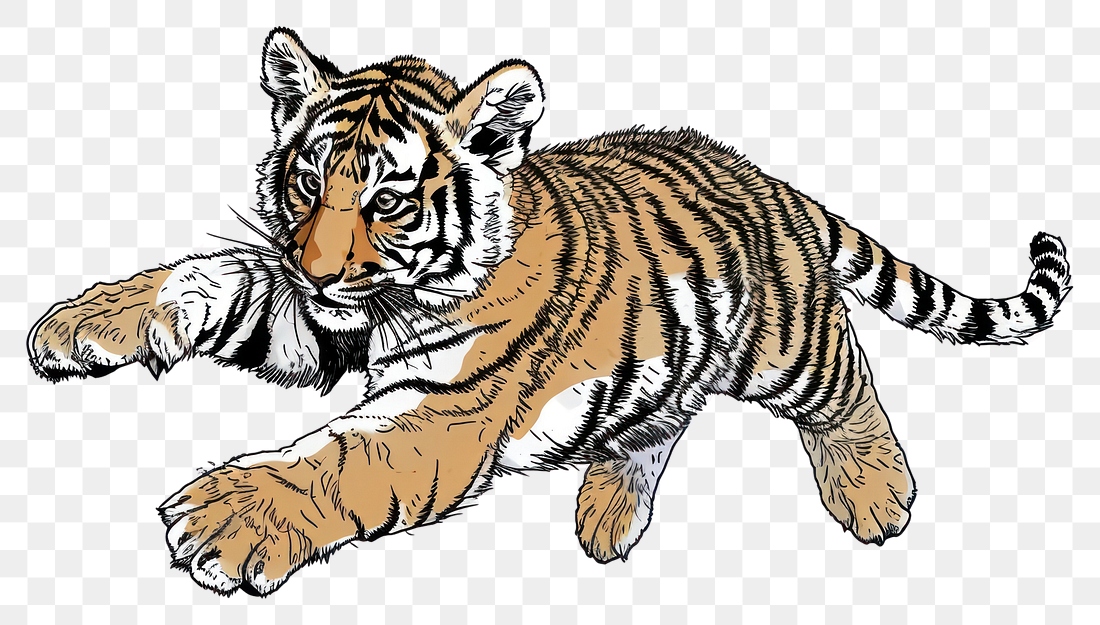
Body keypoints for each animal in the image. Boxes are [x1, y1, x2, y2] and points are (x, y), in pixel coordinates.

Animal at [27, 27, 1072, 597]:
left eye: (389, 201)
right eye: (308, 183)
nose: (316, 270)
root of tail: (763, 174)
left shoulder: (445, 406)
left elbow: (339, 454)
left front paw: (226, 518)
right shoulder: (313, 318)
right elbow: (206, 278)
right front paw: (75, 324)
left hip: (784, 342)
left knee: (846, 376)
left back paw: (876, 496)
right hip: (669, 358)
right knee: (661, 415)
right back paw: (608, 516)